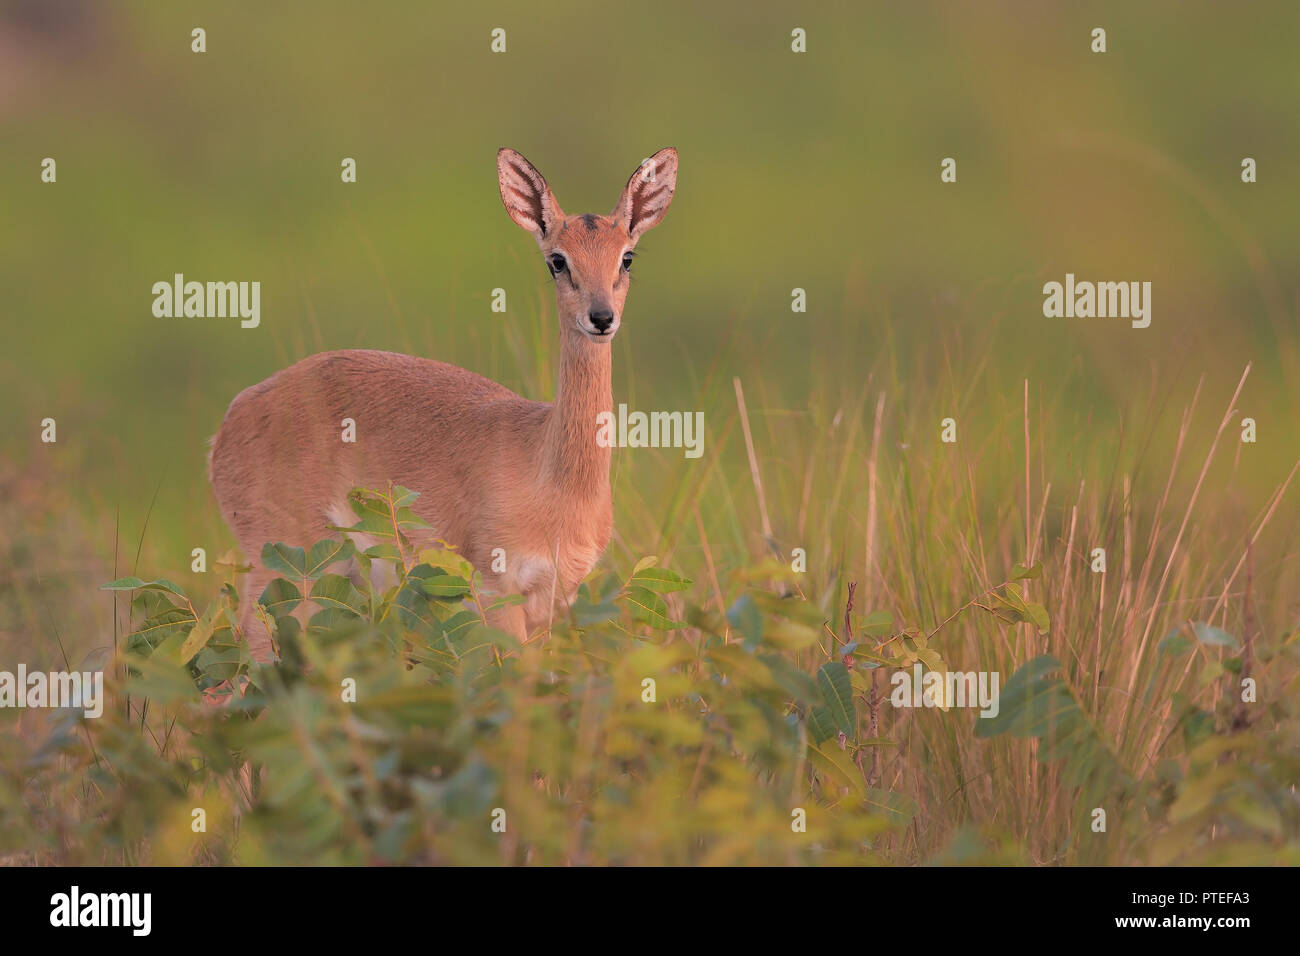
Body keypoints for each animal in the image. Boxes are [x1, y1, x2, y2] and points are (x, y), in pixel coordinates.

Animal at [209, 147, 678, 660]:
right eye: (558, 260)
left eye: (626, 257)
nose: (601, 317)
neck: (552, 478)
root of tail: (229, 422)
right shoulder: (497, 591)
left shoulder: (553, 601)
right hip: (286, 564)